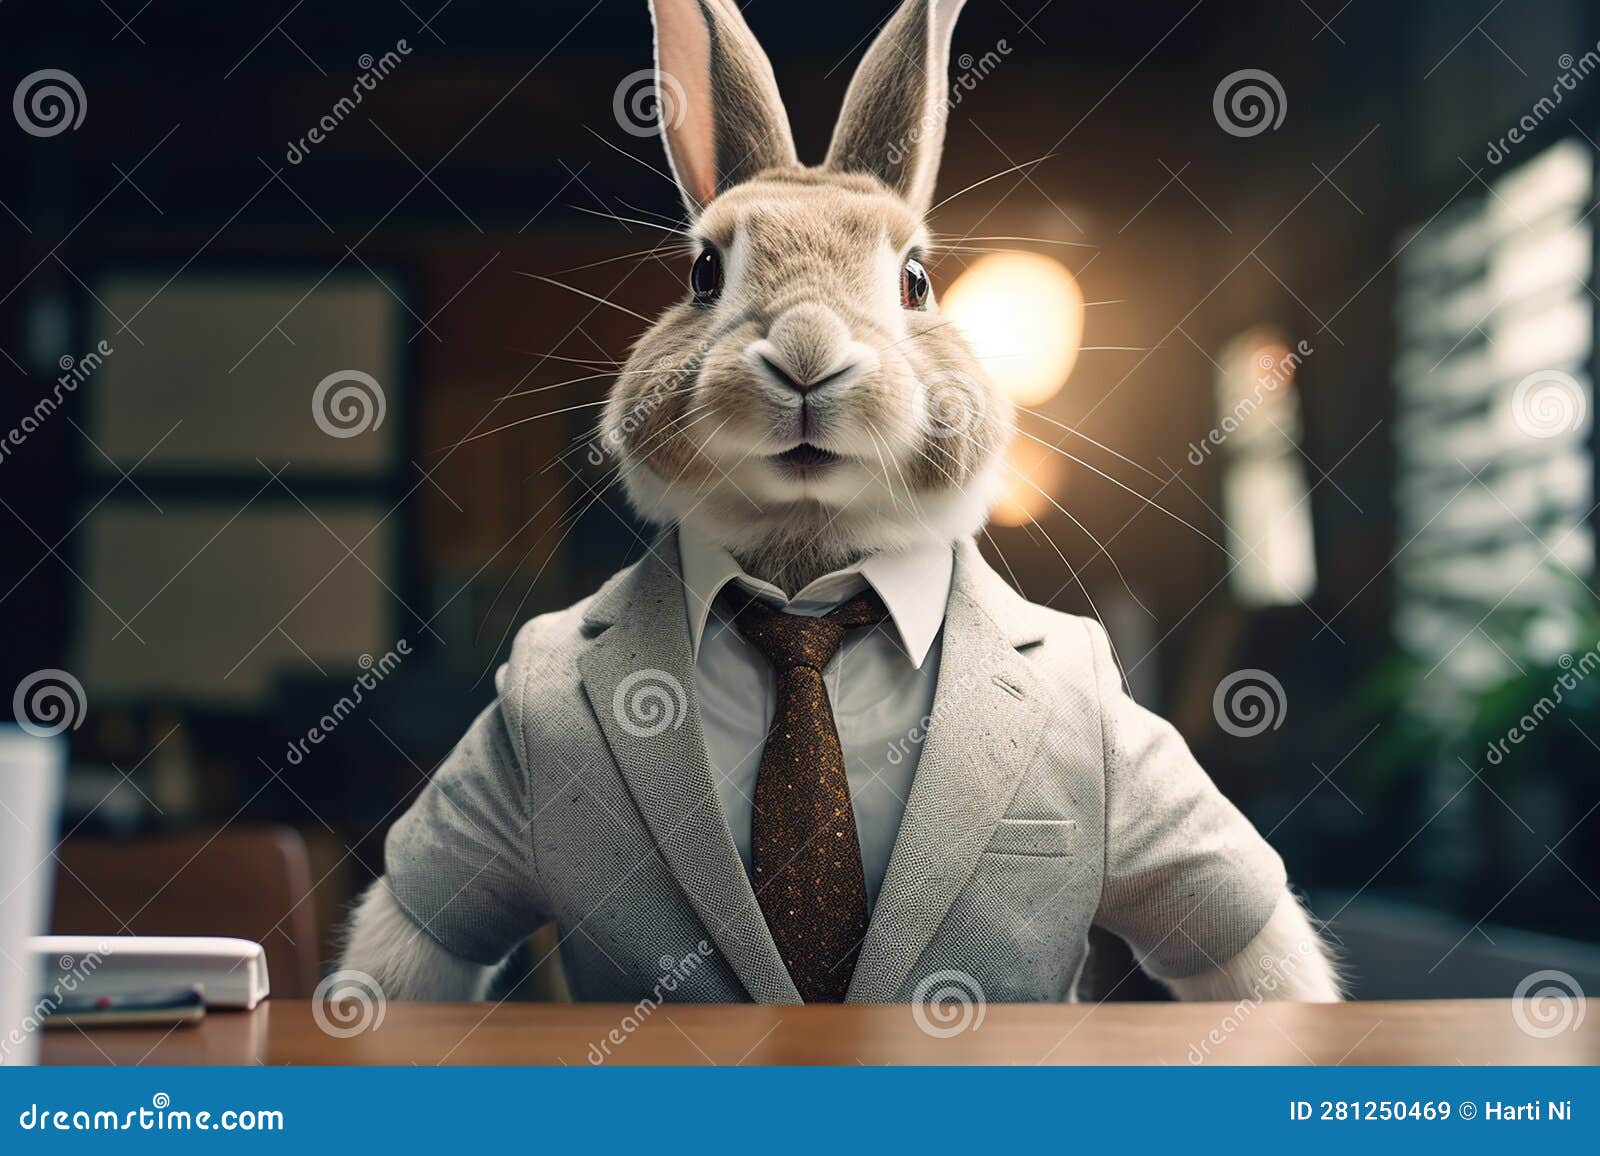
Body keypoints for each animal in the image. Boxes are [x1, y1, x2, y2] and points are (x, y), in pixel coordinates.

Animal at [341, 0, 1342, 1009]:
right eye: (704, 273)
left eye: (915, 281)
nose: (807, 352)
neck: (807, 579)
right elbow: (425, 928)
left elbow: (1232, 930)